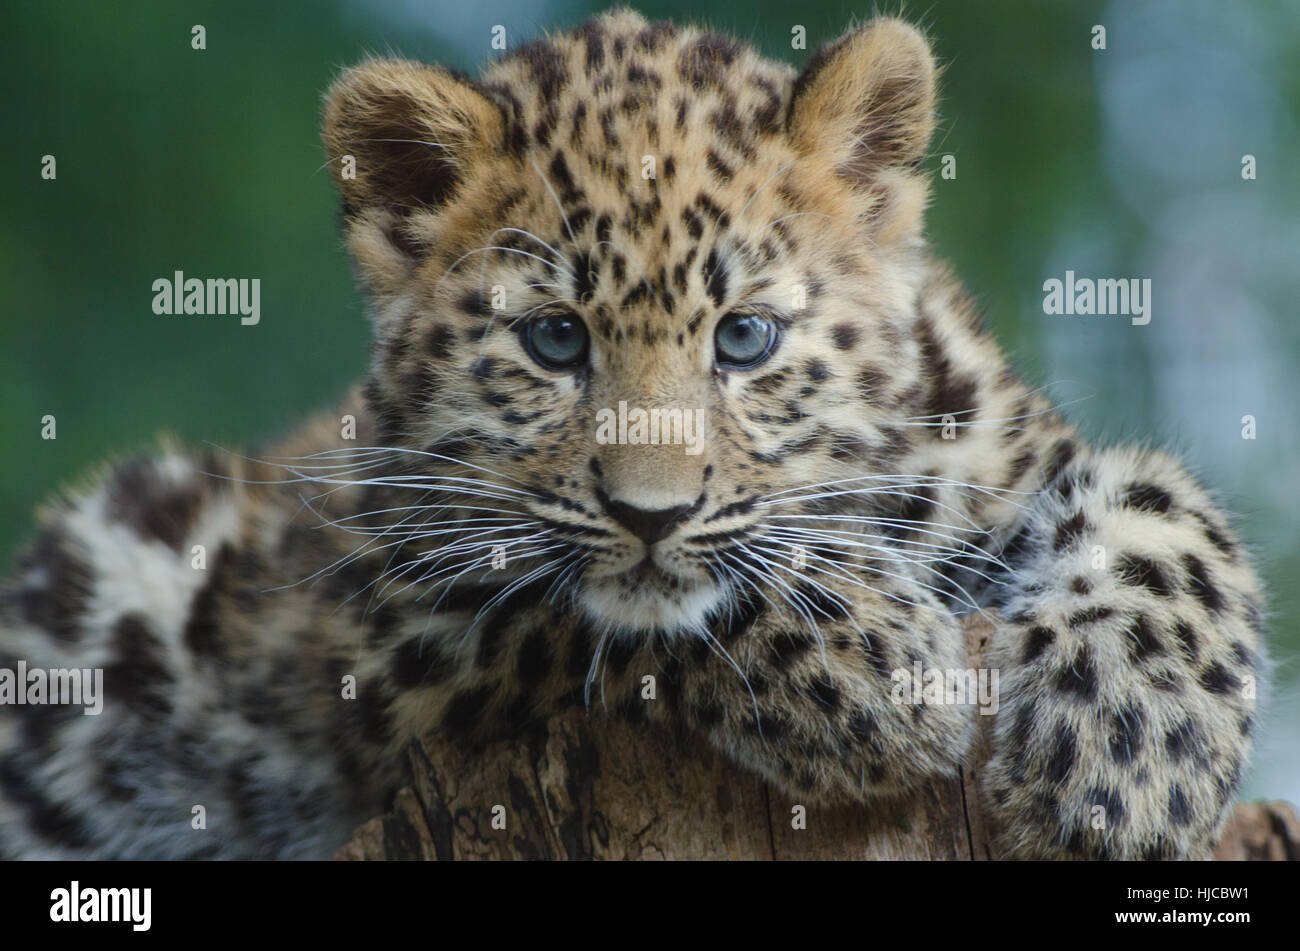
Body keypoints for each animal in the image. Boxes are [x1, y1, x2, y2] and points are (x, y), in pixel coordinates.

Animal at [0, 8, 1267, 860]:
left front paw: (1131, 756)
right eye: (555, 342)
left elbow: (1167, 519)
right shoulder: (378, 609)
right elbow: (616, 605)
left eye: (745, 337)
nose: (648, 514)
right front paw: (881, 676)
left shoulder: (1007, 449)